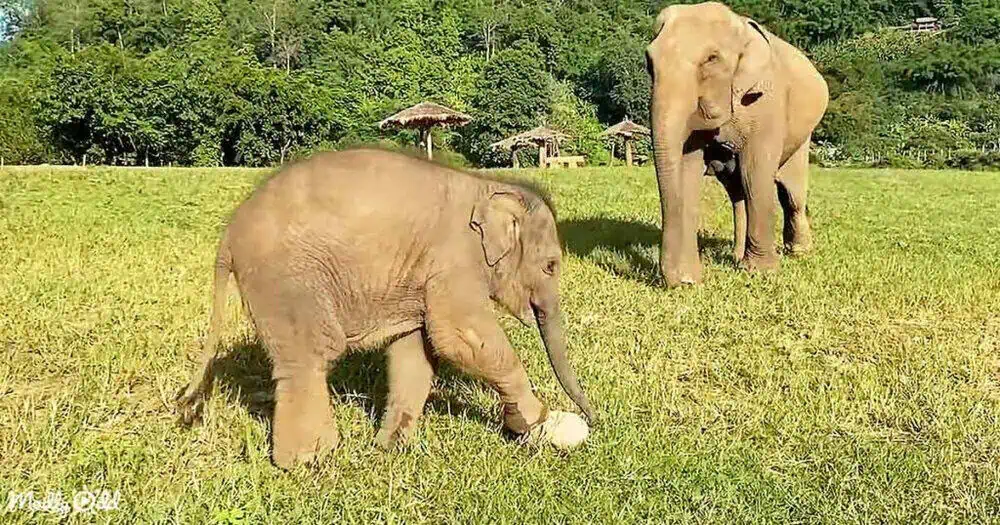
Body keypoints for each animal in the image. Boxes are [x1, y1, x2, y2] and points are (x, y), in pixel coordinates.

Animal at [175, 148, 595, 469]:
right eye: (551, 266)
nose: (595, 418)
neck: (486, 185)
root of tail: (228, 238)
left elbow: (415, 352)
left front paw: (392, 447)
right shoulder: (454, 260)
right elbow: (462, 336)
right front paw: (535, 422)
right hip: (286, 281)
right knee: (308, 358)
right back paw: (310, 462)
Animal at [645, 2, 829, 287]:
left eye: (711, 59)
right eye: (648, 62)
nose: (681, 282)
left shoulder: (766, 101)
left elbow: (756, 171)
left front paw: (762, 272)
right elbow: (687, 173)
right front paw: (692, 278)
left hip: (802, 137)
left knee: (791, 192)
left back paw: (798, 252)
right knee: (738, 192)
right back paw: (737, 255)